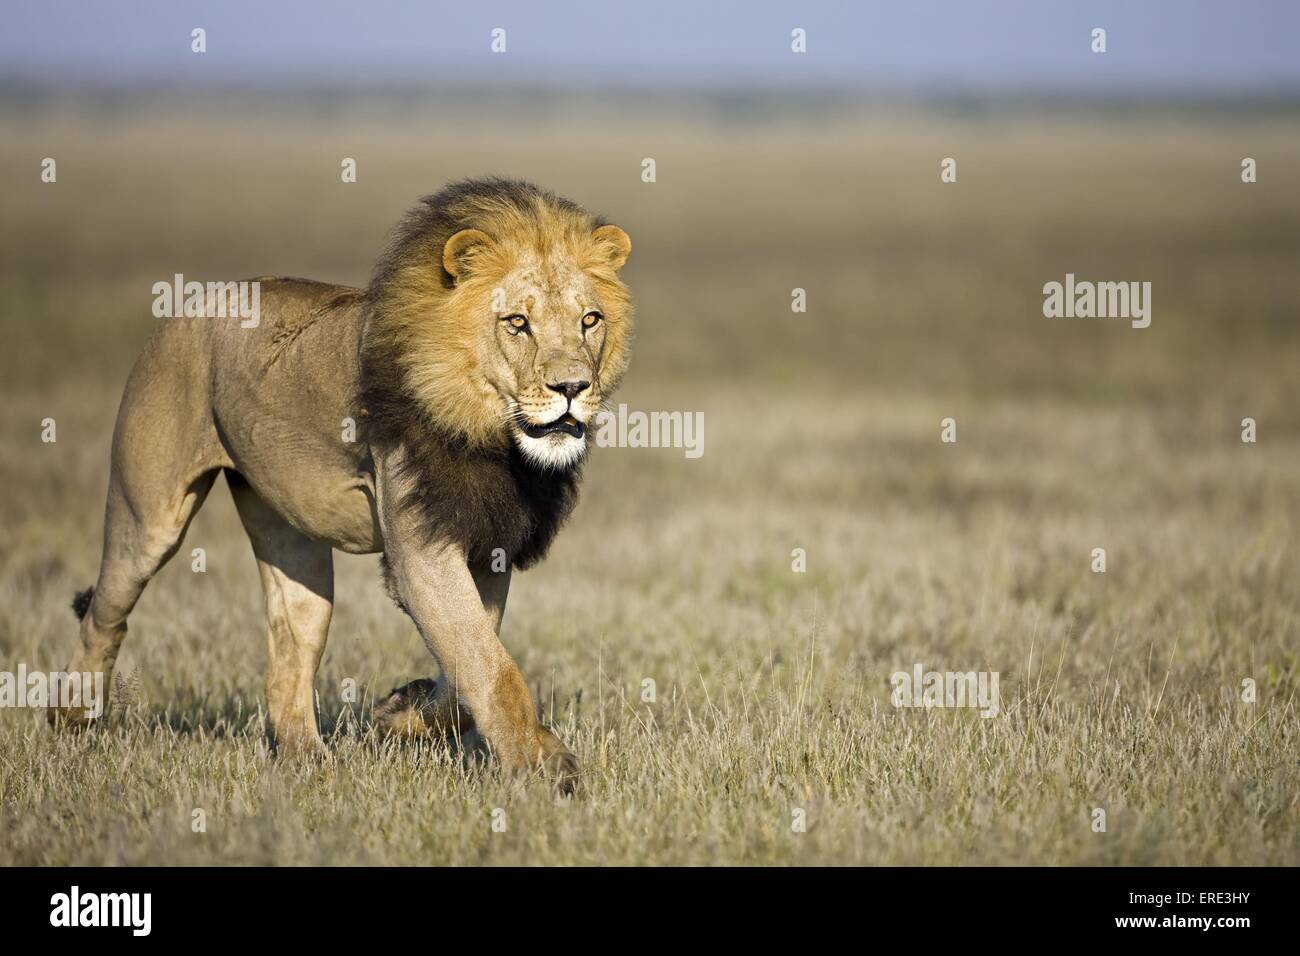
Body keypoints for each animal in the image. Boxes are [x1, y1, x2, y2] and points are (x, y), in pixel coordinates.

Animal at [51, 178, 633, 793]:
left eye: (590, 320)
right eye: (517, 323)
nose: (573, 387)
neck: (494, 440)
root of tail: (185, 307)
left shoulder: (487, 543)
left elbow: (469, 662)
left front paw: (400, 711)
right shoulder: (422, 550)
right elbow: (488, 663)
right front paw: (547, 767)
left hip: (290, 539)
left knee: (291, 644)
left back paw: (308, 759)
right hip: (147, 517)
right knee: (105, 609)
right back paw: (71, 716)